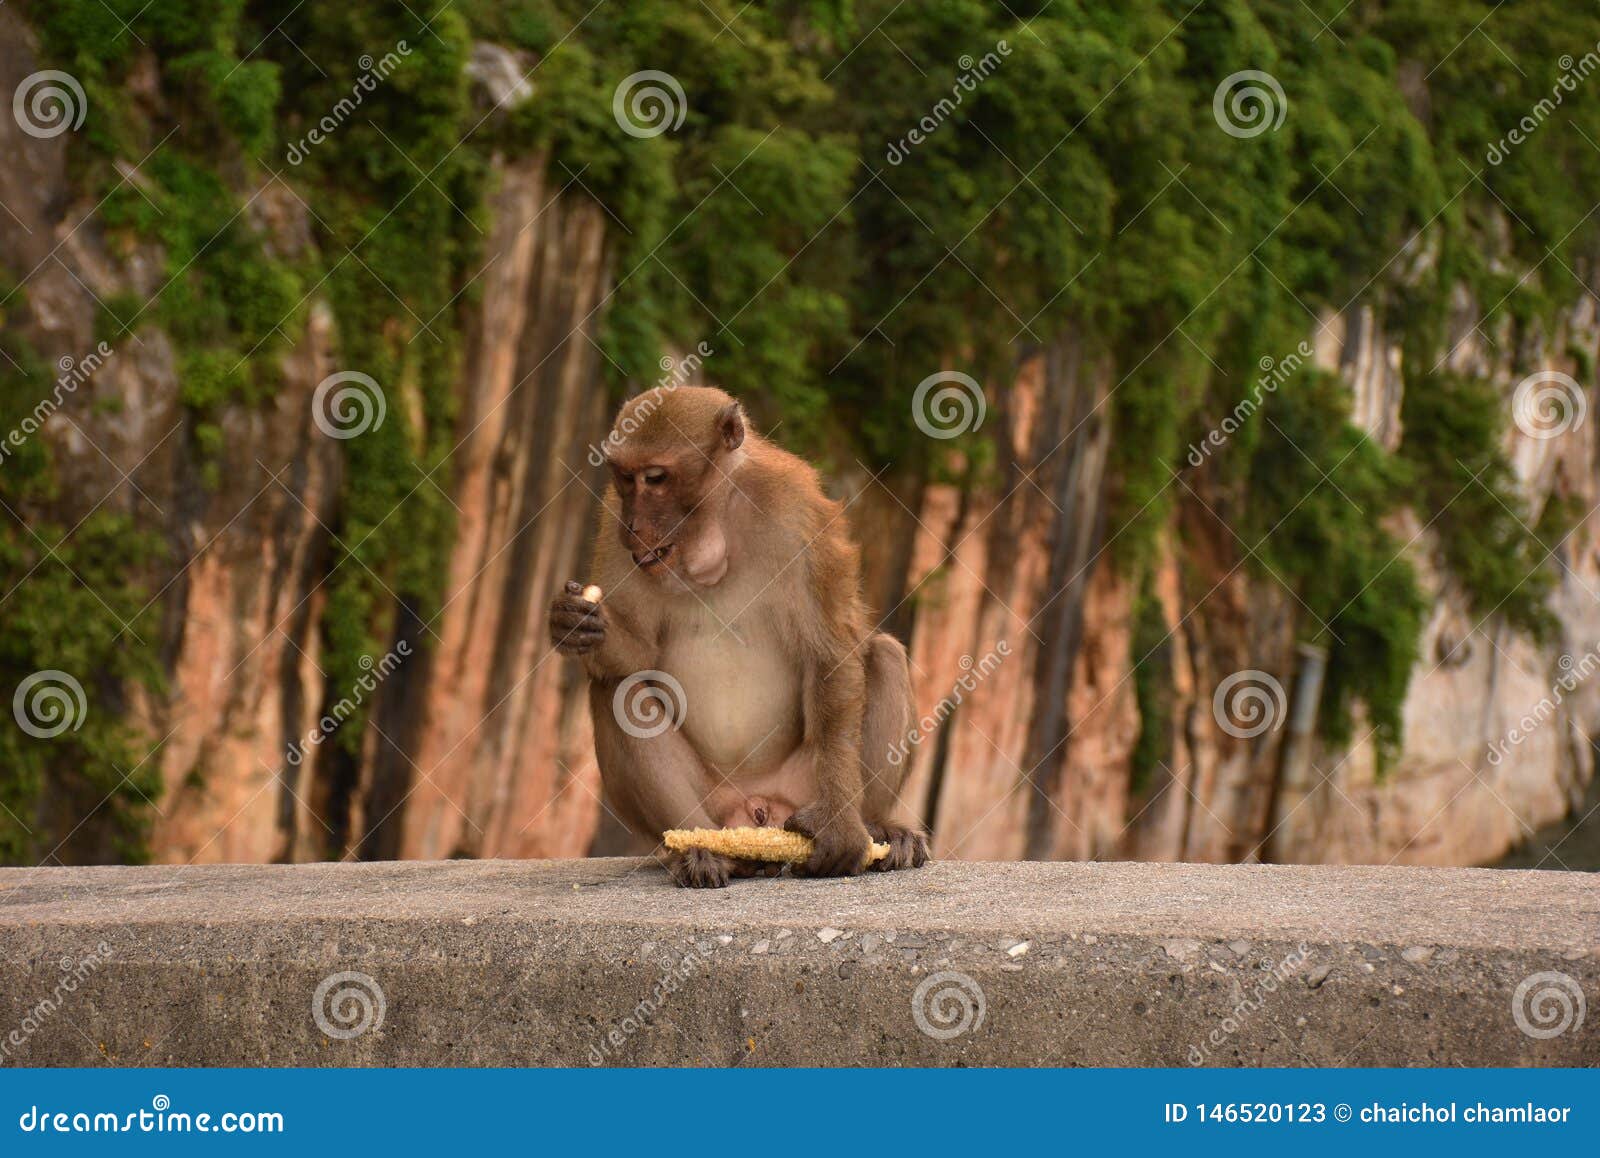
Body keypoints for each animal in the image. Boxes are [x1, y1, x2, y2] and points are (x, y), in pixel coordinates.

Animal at [548, 385, 930, 887]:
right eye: (626, 479)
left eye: (655, 478)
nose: (633, 524)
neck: (715, 528)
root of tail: (756, 811)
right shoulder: (613, 523)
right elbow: (638, 658)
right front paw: (576, 623)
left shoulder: (795, 506)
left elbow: (829, 652)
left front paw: (842, 827)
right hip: (714, 804)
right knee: (618, 690)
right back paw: (703, 851)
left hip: (803, 788)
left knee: (882, 656)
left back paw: (878, 829)